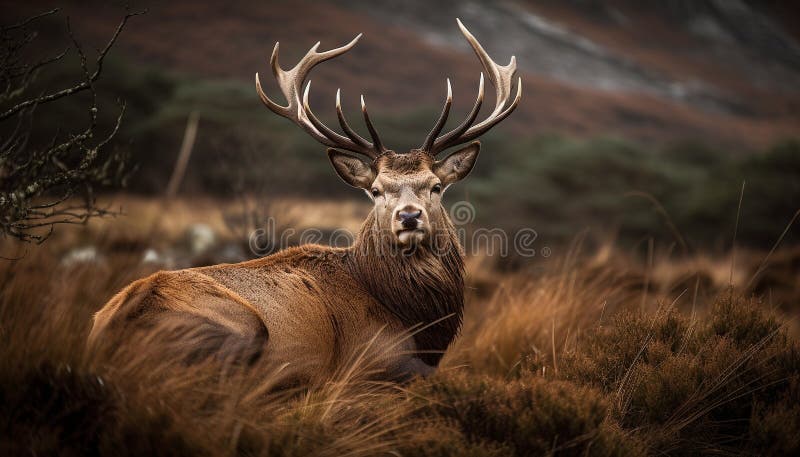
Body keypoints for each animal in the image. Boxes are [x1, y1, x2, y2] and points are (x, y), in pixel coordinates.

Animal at [88, 19, 521, 383]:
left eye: (435, 186)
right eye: (376, 189)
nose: (409, 217)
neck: (417, 326)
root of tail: (108, 334)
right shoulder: (373, 362)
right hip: (244, 327)